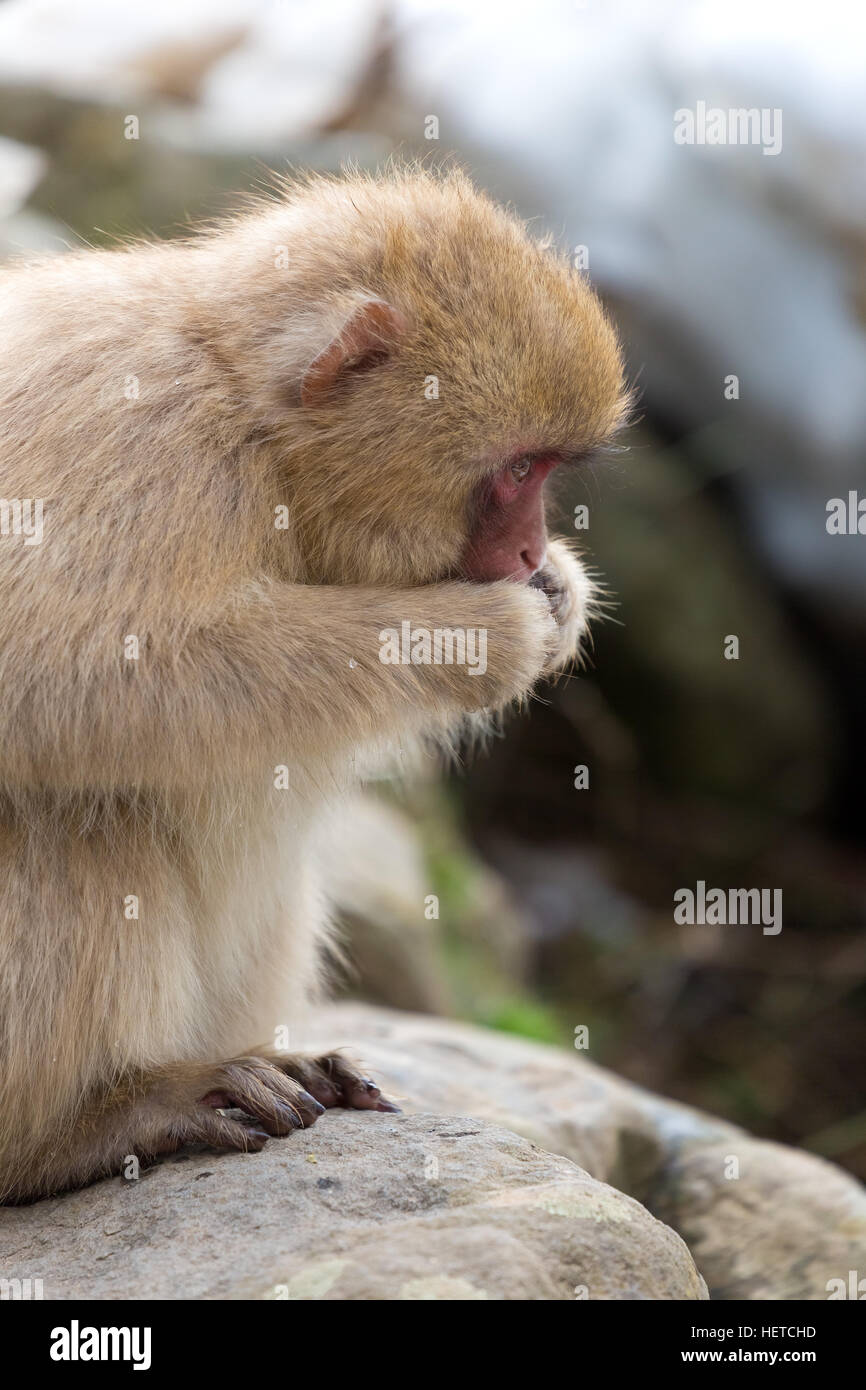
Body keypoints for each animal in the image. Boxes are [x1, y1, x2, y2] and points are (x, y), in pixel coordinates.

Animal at [0, 166, 628, 1203]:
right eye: (517, 470)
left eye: (545, 471)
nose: (530, 548)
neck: (255, 424)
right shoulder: (138, 439)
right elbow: (66, 684)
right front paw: (475, 638)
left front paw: (562, 592)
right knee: (80, 822)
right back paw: (80, 1127)